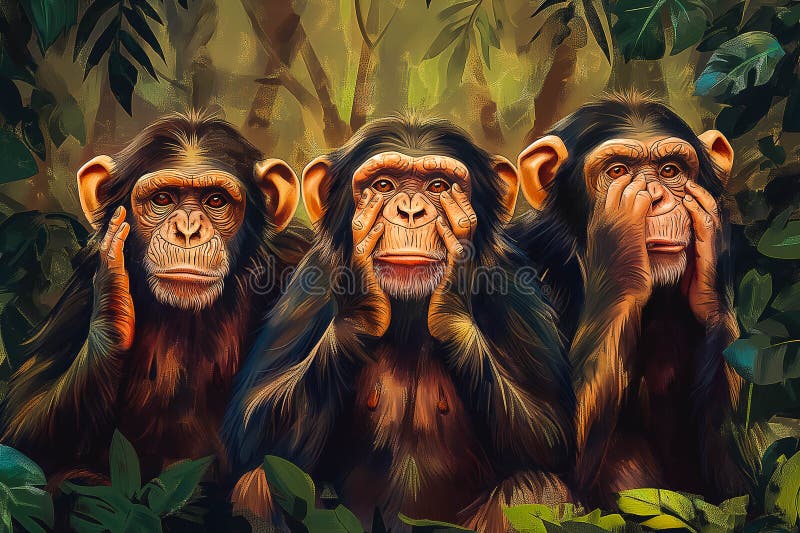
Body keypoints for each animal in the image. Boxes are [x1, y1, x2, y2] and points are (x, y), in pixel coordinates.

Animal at [0, 111, 309, 485]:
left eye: (216, 200)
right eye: (163, 200)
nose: (188, 230)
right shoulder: (78, 296)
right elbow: (24, 426)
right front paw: (114, 295)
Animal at [222, 115, 575, 531]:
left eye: (438, 186)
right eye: (382, 186)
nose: (409, 211)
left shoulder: (516, 284)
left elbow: (549, 435)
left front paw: (455, 284)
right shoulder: (309, 284)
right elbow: (251, 429)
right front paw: (362, 299)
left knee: (536, 488)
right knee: (260, 483)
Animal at [510, 92, 764, 507]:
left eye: (670, 170)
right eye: (617, 171)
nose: (657, 199)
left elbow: (727, 486)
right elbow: (548, 445)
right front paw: (621, 248)